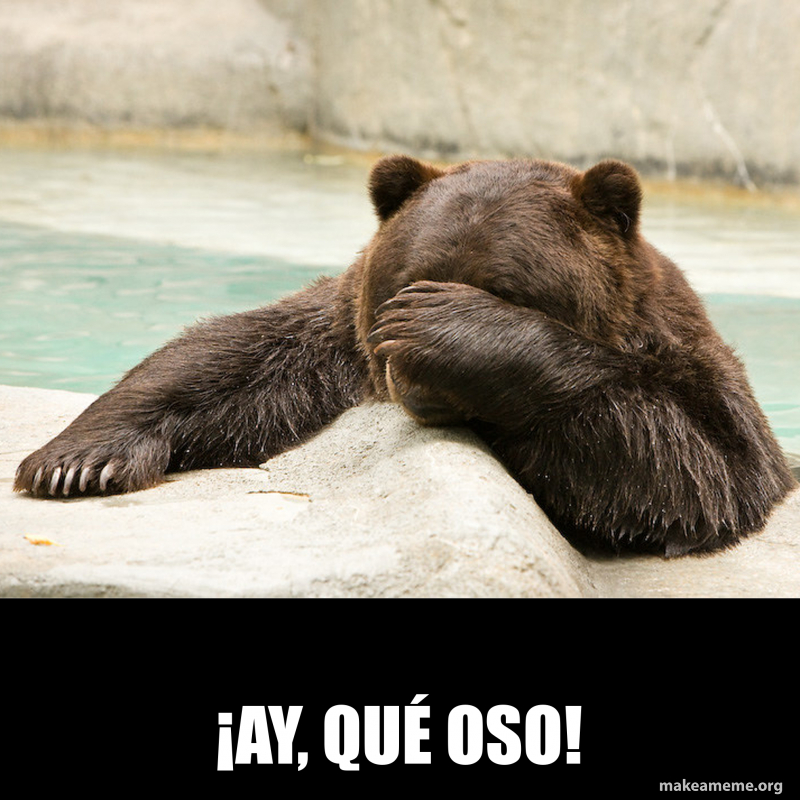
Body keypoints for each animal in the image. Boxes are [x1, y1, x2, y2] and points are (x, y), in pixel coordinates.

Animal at [14, 155, 796, 556]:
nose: (418, 373)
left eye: (506, 288)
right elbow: (231, 359)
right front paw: (76, 461)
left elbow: (702, 465)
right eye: (408, 278)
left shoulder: (685, 367)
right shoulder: (339, 337)